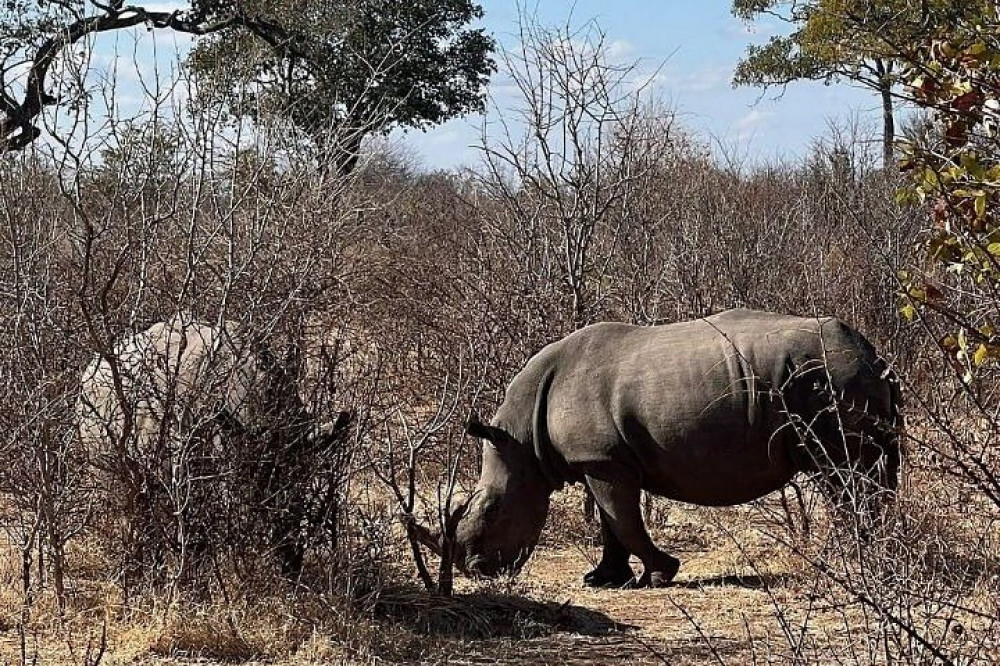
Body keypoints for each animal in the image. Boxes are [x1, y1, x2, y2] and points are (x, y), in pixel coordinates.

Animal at [432, 309, 902, 588]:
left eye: (492, 510)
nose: (476, 571)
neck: (523, 440)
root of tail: (872, 354)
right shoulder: (603, 462)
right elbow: (612, 523)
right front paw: (601, 580)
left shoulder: (601, 461)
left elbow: (623, 521)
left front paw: (661, 574)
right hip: (848, 379)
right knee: (870, 475)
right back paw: (874, 559)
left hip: (832, 382)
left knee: (843, 476)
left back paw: (849, 565)